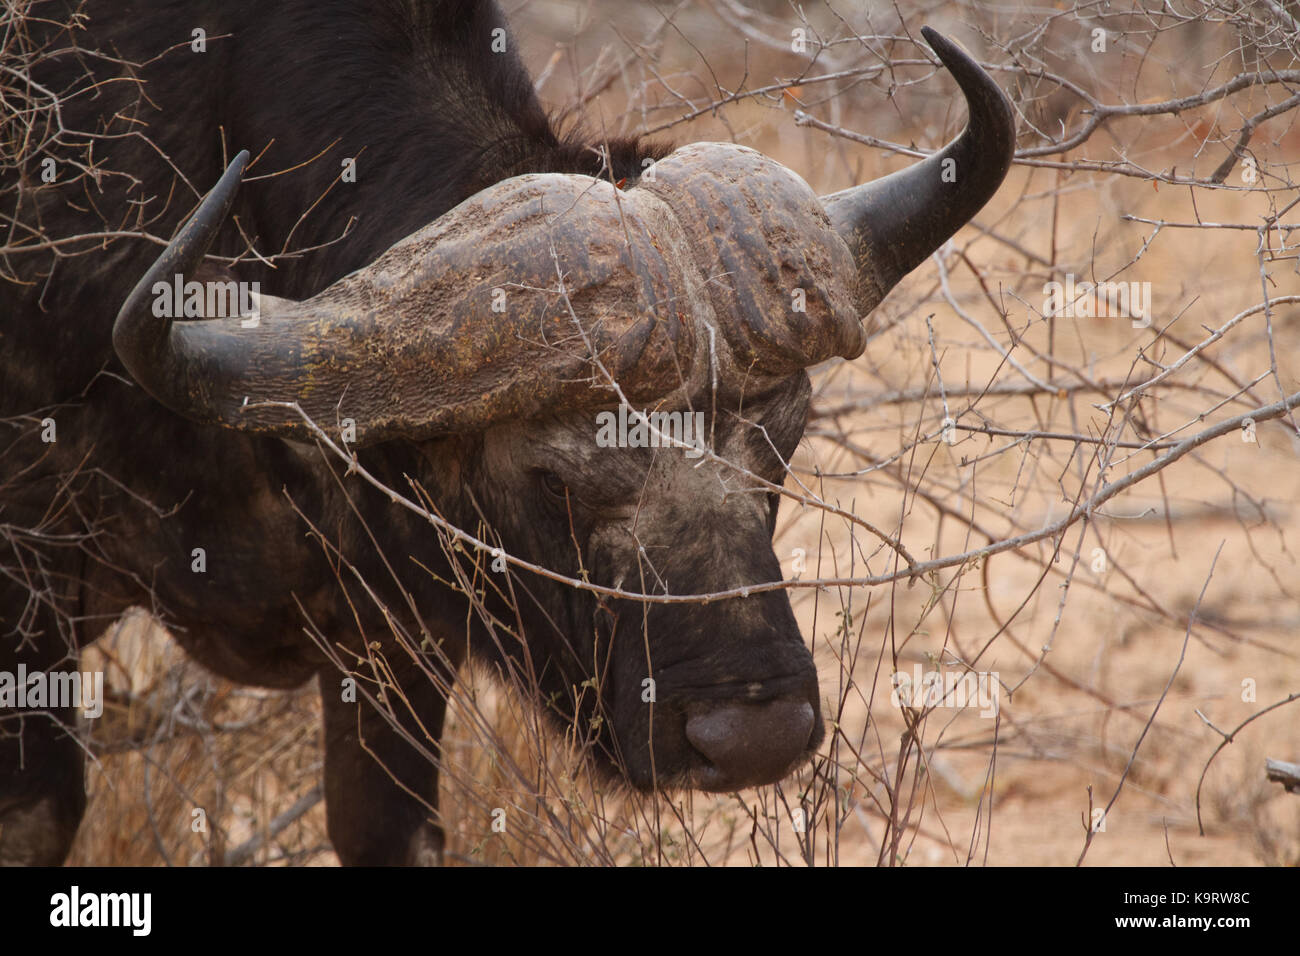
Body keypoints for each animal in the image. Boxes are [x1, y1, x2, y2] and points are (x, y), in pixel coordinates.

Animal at [0, 0, 1013, 864]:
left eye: (782, 438)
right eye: (552, 477)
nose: (754, 736)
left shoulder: (391, 626)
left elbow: (386, 824)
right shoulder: (27, 590)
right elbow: (40, 814)